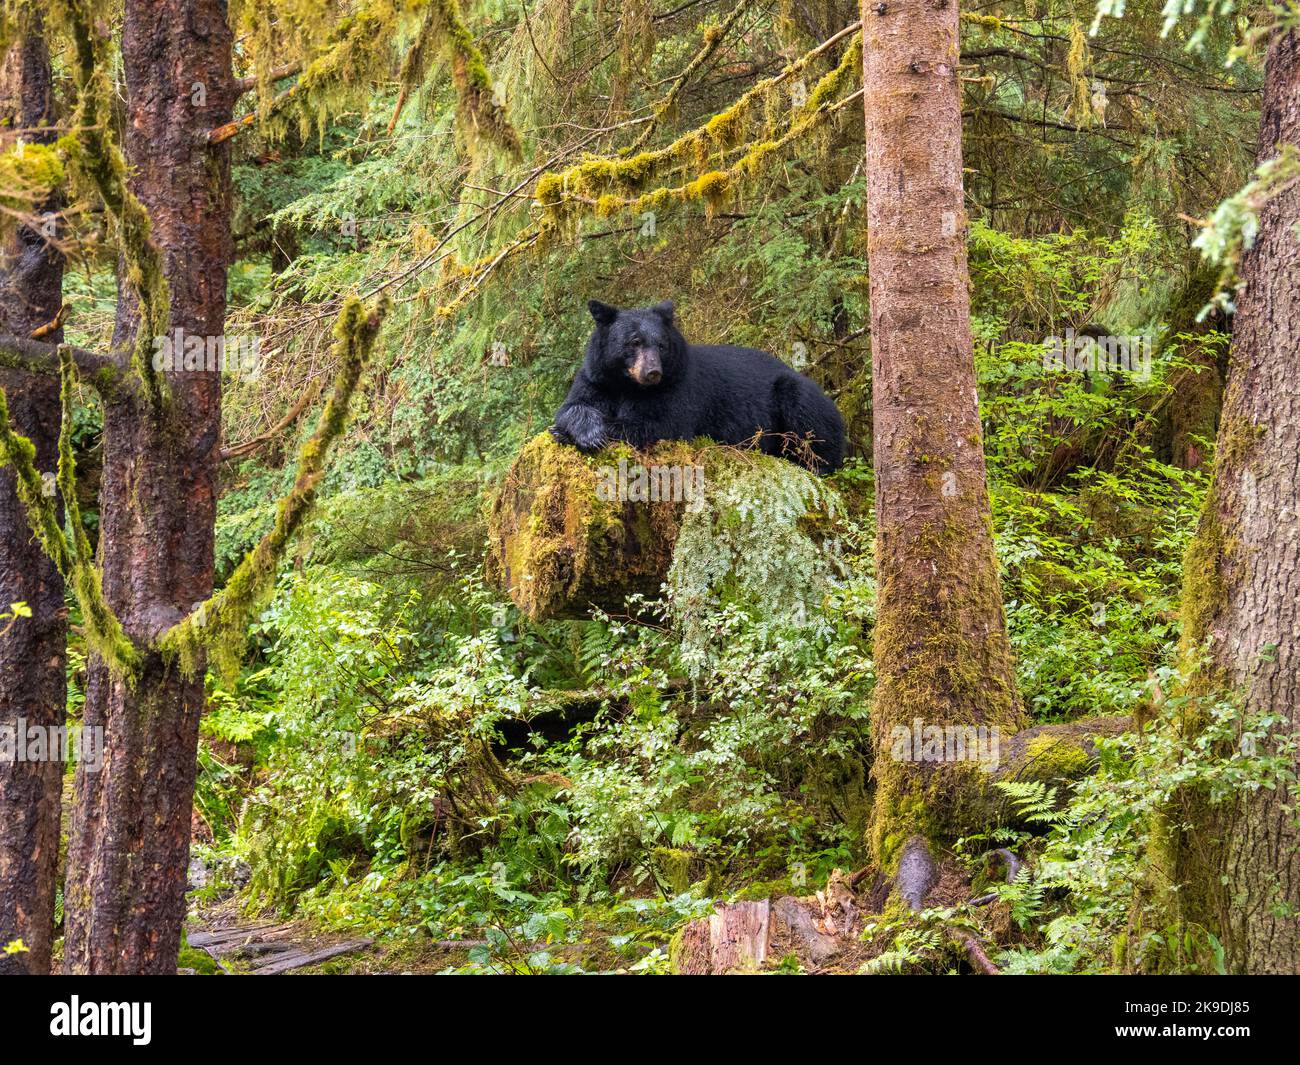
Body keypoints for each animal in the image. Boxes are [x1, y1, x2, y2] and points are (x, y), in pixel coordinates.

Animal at [550, 300, 845, 473]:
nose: (653, 372)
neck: (628, 384)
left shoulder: (677, 386)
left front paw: (581, 433)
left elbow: (657, 423)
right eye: (634, 342)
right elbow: (573, 405)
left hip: (796, 392)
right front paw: (582, 431)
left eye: (661, 345)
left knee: (812, 423)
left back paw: (815, 464)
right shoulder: (596, 378)